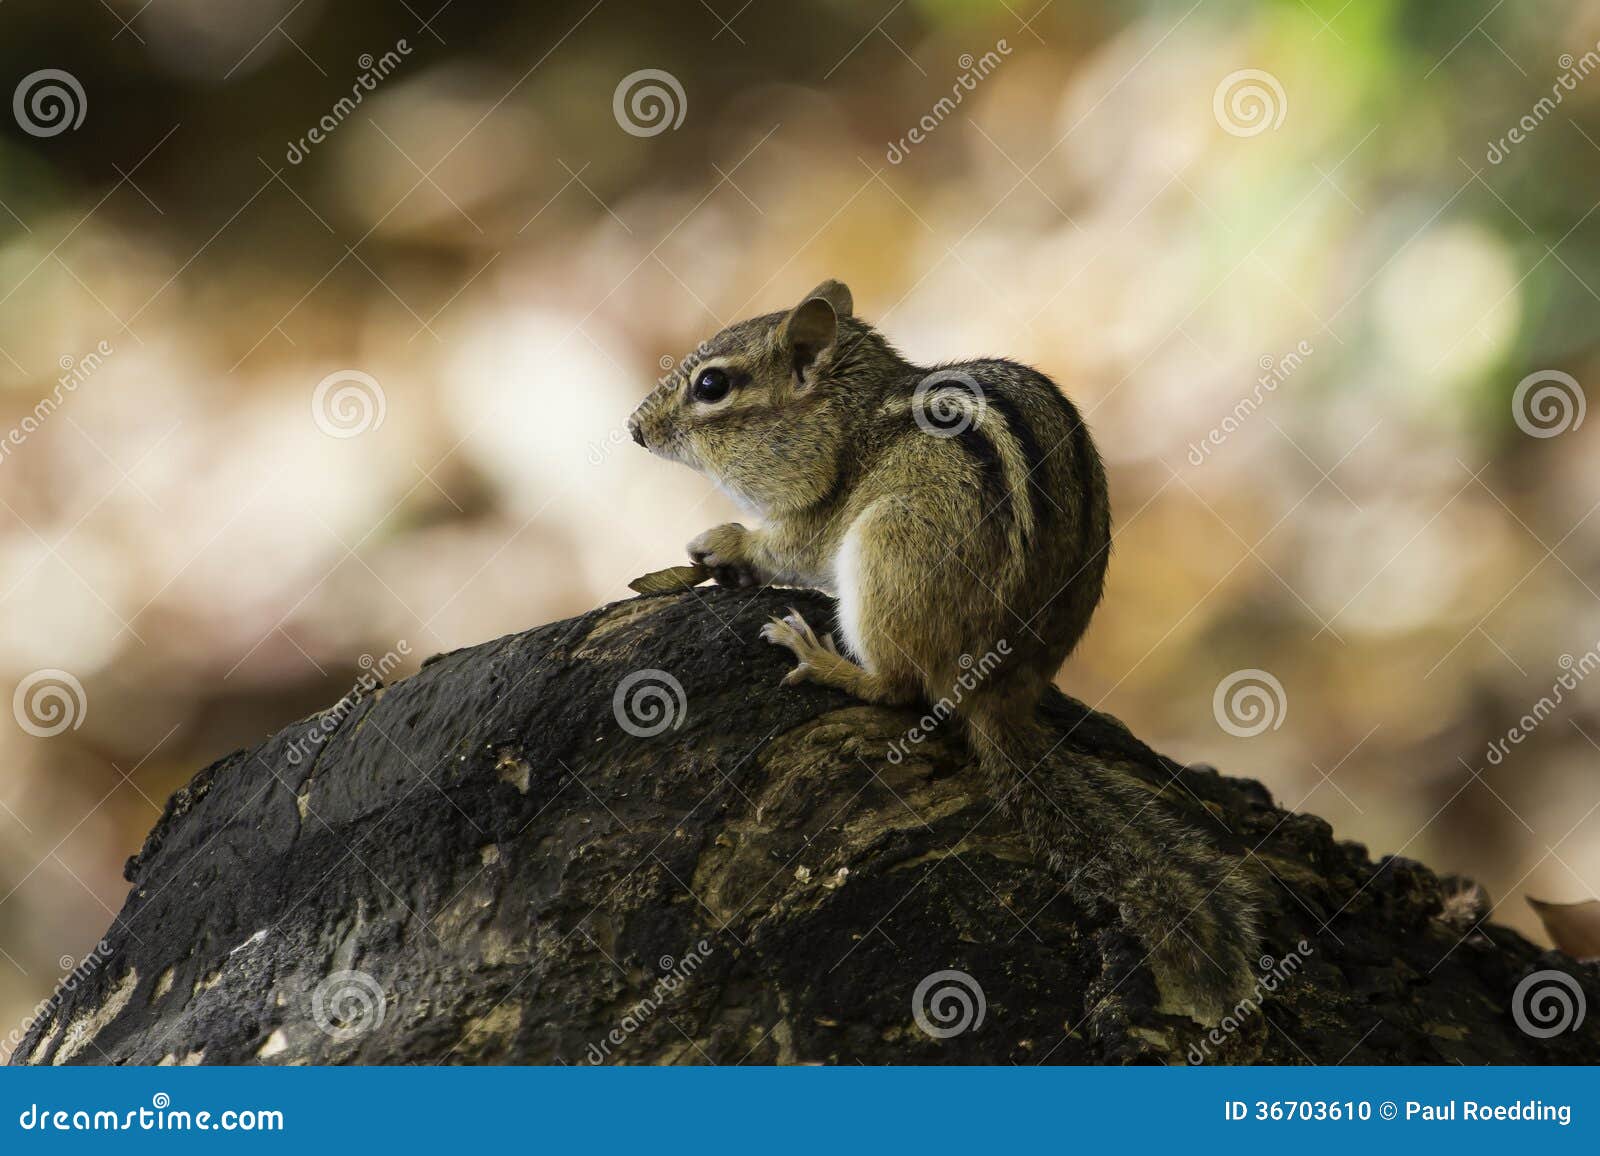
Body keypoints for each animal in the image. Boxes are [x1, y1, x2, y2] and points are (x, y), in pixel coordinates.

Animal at [626, 279, 1259, 1022]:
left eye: (712, 385)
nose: (634, 429)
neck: (849, 418)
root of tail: (998, 693)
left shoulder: (822, 513)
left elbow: (788, 549)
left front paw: (723, 543)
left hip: (885, 551)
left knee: (901, 688)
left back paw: (822, 659)